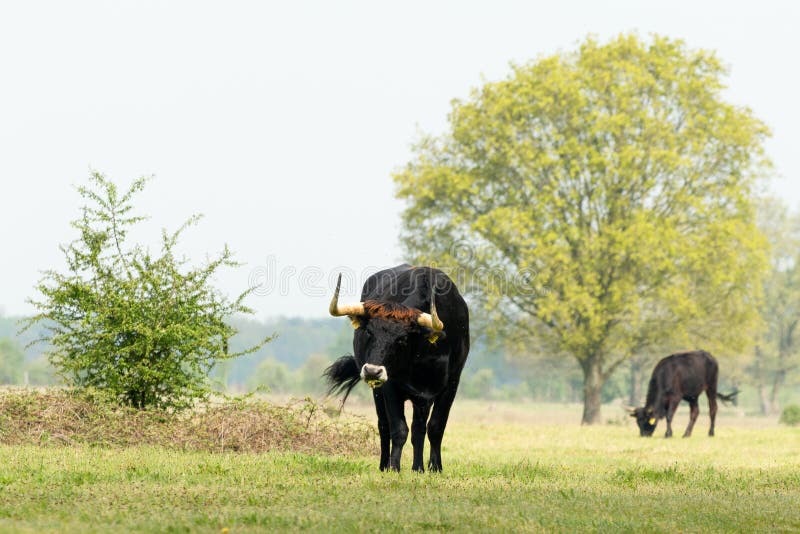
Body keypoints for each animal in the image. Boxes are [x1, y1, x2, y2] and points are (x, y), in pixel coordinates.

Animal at [323, 264, 470, 472]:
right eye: (369, 332)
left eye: (402, 339)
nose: (372, 371)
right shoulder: (390, 386)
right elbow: (399, 429)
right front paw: (394, 467)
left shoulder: (450, 385)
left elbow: (434, 427)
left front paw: (433, 468)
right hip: (379, 391)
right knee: (384, 425)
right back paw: (384, 465)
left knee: (418, 429)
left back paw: (418, 467)